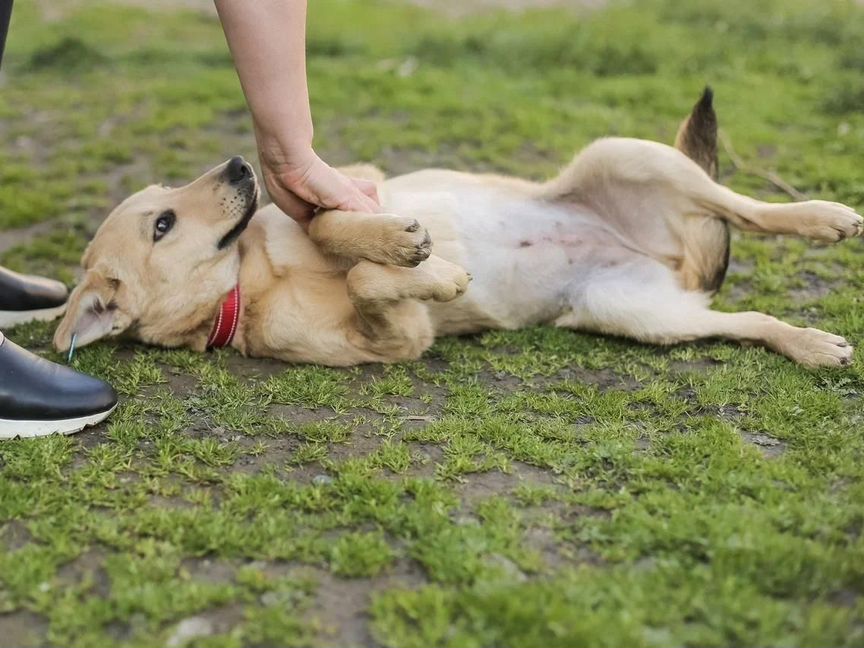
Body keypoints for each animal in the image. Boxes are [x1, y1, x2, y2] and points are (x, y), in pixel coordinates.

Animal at [55, 88, 864, 368]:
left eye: (163, 194)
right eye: (162, 221)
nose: (237, 164)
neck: (251, 277)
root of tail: (665, 255)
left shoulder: (349, 183)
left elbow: (337, 231)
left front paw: (411, 252)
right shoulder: (399, 342)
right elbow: (372, 284)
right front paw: (436, 273)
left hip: (624, 155)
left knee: (741, 206)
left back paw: (823, 217)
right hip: (639, 314)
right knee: (744, 319)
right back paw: (809, 342)